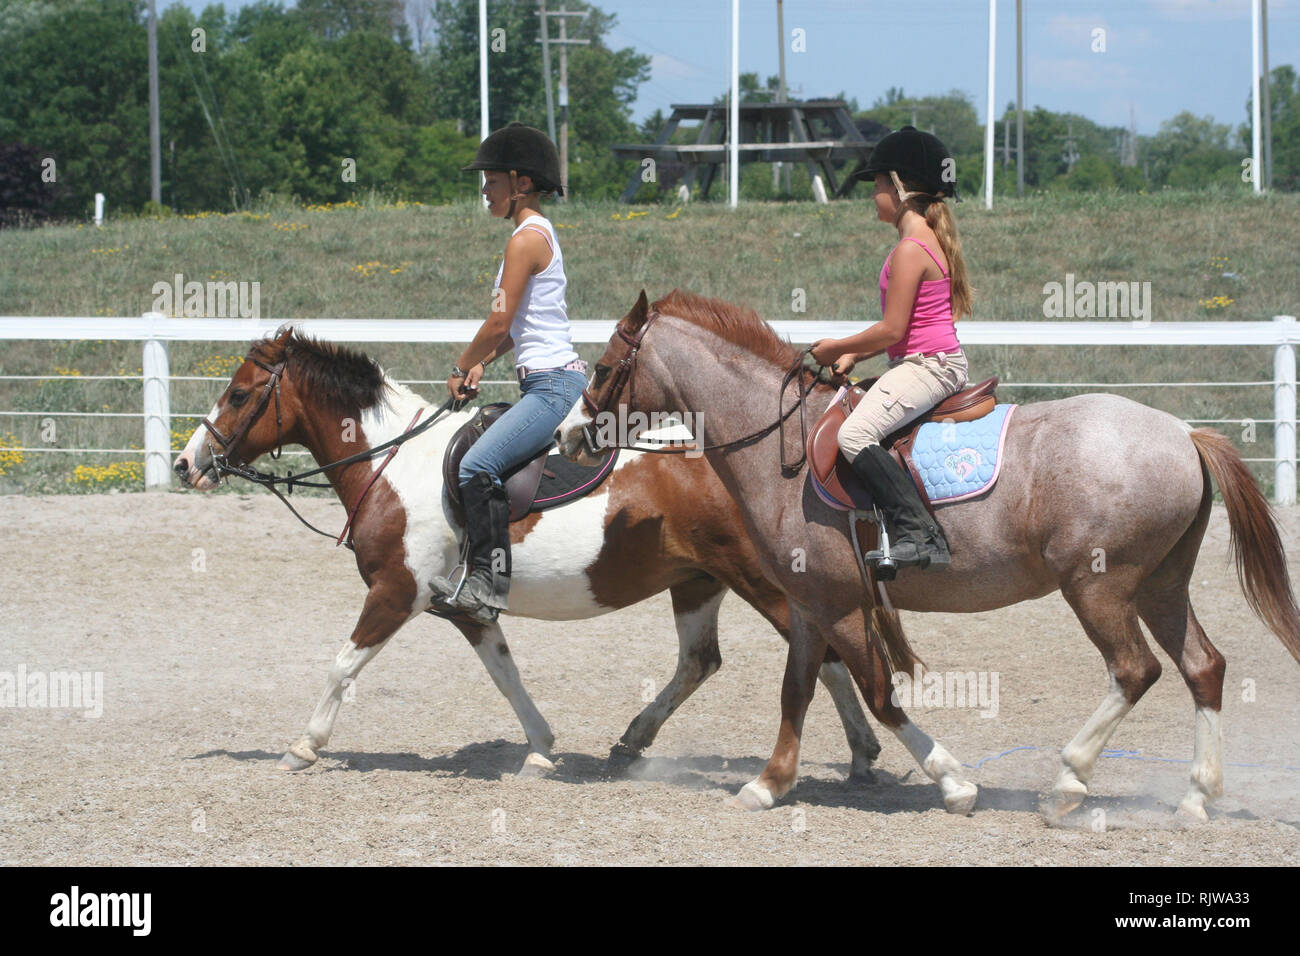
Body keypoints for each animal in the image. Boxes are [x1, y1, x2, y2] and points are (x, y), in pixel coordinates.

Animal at [173, 326, 882, 781]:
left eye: (239, 395)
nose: (186, 464)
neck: (393, 463)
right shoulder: (466, 608)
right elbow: (505, 675)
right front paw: (540, 748)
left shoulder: (396, 592)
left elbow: (343, 664)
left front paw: (304, 745)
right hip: (698, 579)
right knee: (701, 661)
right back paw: (635, 740)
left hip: (761, 579)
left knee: (822, 652)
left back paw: (863, 749)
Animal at [557, 288, 1300, 820]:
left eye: (604, 368)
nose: (567, 437)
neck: (779, 446)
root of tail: (1183, 432)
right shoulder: (810, 601)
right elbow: (796, 690)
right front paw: (769, 783)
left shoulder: (839, 604)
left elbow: (880, 693)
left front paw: (952, 784)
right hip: (1160, 585)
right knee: (1202, 666)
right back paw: (1197, 796)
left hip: (1100, 586)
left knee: (1134, 670)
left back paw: (1068, 782)